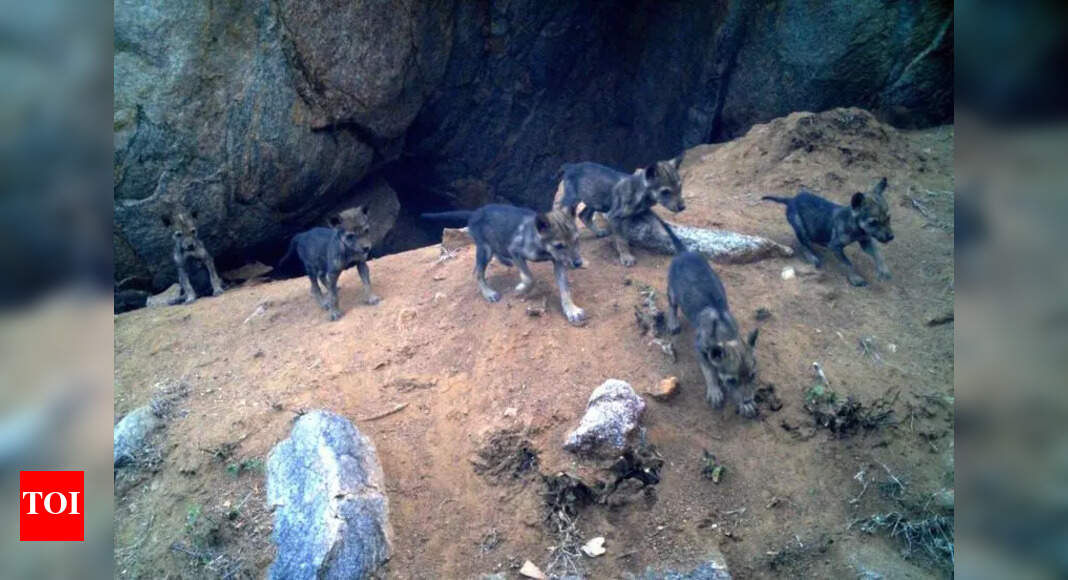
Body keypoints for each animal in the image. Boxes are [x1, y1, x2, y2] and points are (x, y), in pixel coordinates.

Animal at [422, 204, 586, 325]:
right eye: (559, 246)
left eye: (577, 240)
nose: (578, 263)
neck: (539, 242)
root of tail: (475, 213)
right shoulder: (515, 250)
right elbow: (529, 277)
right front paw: (521, 289)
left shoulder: (558, 262)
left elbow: (565, 289)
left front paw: (571, 310)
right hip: (485, 249)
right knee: (478, 272)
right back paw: (488, 293)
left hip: (494, 244)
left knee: (497, 254)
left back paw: (505, 261)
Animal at [554, 158, 684, 266]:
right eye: (665, 191)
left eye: (680, 187)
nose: (682, 207)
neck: (640, 192)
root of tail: (571, 165)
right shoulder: (614, 216)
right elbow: (621, 240)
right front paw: (626, 257)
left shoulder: (643, 213)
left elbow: (660, 227)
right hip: (572, 199)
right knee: (559, 210)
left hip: (595, 200)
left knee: (584, 215)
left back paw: (599, 232)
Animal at [655, 213, 760, 418]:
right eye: (731, 381)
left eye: (752, 376)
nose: (747, 400)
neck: (725, 331)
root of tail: (683, 252)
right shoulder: (700, 349)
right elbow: (710, 371)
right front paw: (715, 391)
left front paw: (746, 405)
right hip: (672, 290)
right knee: (672, 305)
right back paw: (673, 322)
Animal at [762, 177, 894, 287]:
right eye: (873, 223)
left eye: (888, 218)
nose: (891, 237)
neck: (856, 227)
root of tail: (791, 200)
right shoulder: (835, 246)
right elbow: (848, 263)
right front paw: (856, 279)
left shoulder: (866, 240)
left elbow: (878, 253)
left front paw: (884, 271)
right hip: (800, 227)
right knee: (803, 244)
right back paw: (812, 258)